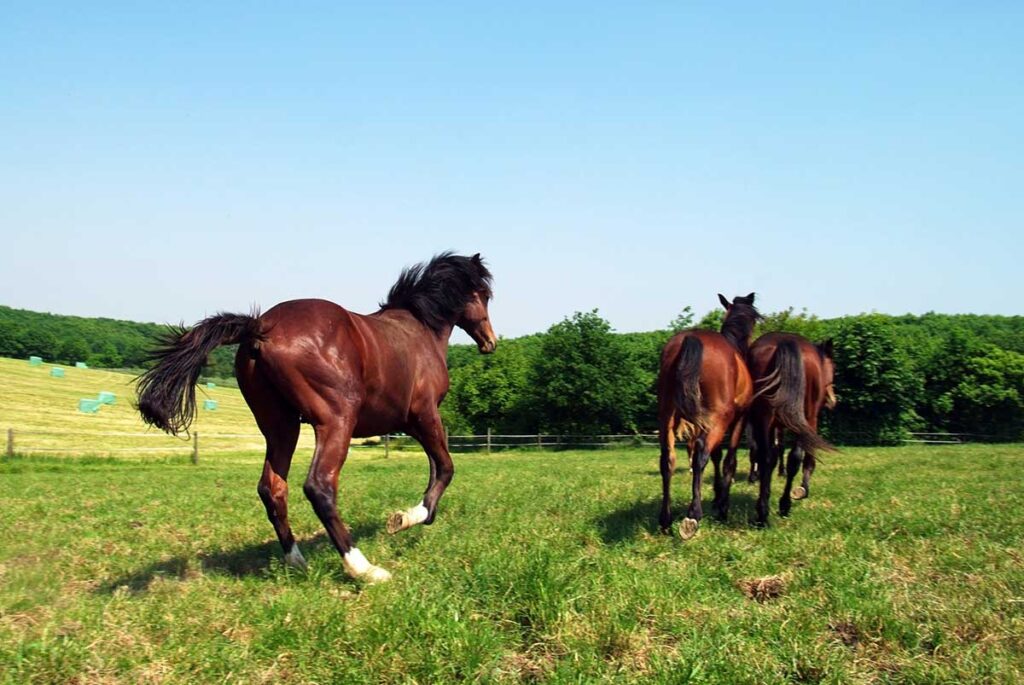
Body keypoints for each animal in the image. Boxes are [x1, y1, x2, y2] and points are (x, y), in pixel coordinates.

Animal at [136, 252, 496, 583]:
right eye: (484, 295)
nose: (490, 341)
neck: (419, 330)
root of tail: (261, 328)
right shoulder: (424, 415)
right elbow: (445, 467)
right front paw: (407, 518)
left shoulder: (412, 424)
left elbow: (436, 468)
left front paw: (414, 515)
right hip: (336, 422)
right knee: (319, 487)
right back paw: (364, 568)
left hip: (281, 427)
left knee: (272, 489)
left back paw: (297, 562)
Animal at [656, 293, 760, 540]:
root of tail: (691, 340)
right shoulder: (738, 419)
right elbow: (728, 459)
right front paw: (722, 505)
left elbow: (717, 455)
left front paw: (716, 495)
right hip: (718, 418)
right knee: (700, 454)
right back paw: (693, 515)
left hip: (667, 415)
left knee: (667, 459)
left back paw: (665, 520)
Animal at [746, 333, 836, 525]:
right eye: (834, 367)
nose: (832, 400)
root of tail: (785, 341)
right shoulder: (810, 421)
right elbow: (806, 458)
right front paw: (803, 489)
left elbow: (772, 455)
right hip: (805, 419)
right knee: (793, 459)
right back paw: (784, 504)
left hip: (763, 418)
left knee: (765, 456)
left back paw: (762, 510)